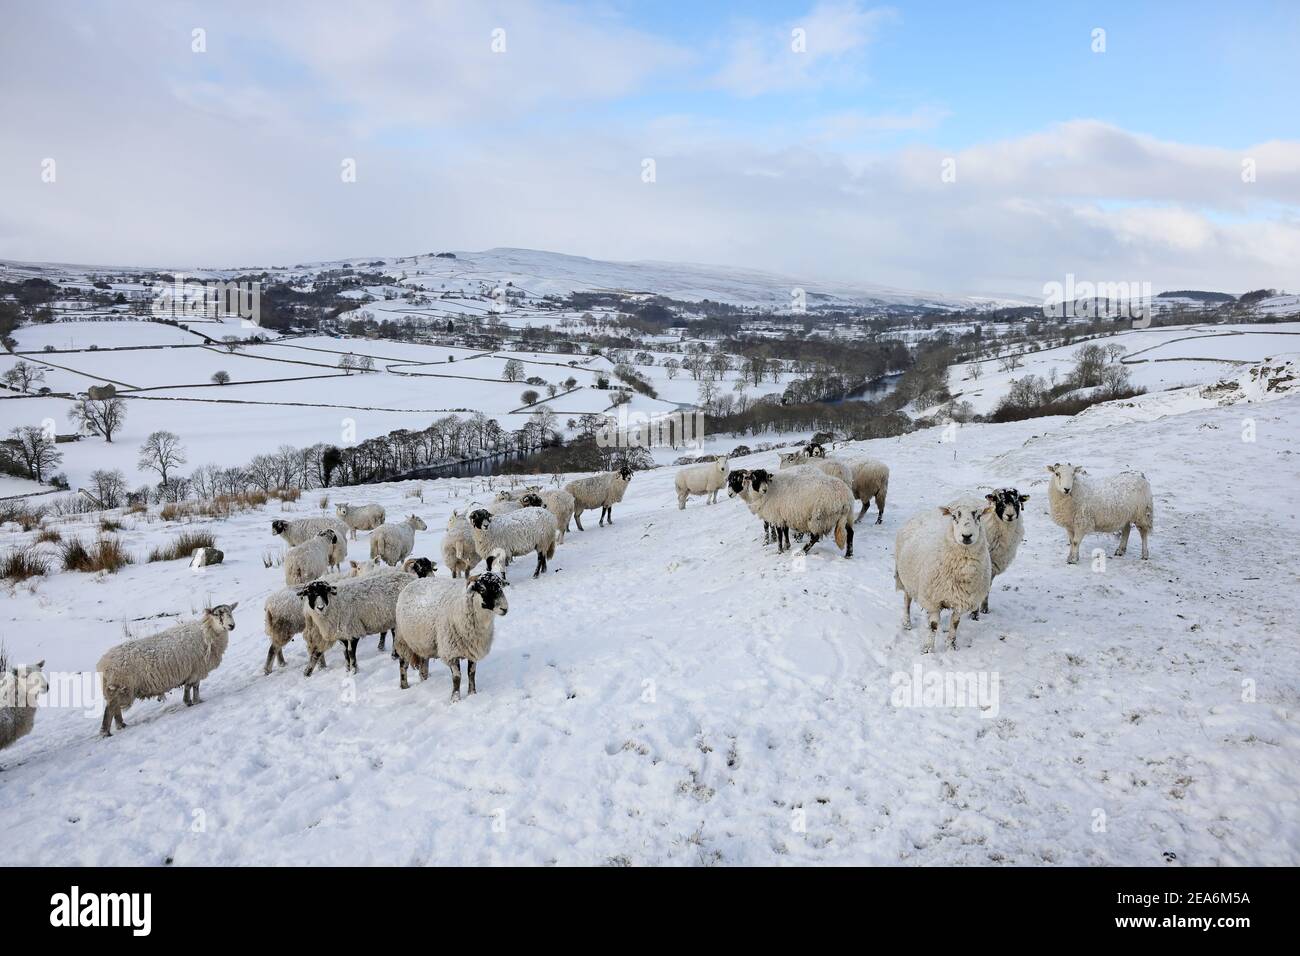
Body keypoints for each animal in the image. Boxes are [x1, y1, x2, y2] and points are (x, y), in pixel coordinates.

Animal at [97, 604, 238, 737]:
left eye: (231, 611)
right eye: (217, 614)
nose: (232, 625)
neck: (206, 633)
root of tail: (103, 663)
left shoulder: (192, 671)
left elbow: (191, 687)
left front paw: (192, 701)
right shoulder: (196, 670)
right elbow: (193, 686)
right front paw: (193, 702)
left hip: (118, 689)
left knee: (115, 708)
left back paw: (121, 725)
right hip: (122, 687)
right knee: (110, 709)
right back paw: (106, 732)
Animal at [299, 559, 435, 676]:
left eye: (324, 591)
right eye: (310, 594)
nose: (320, 607)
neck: (334, 603)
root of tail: (410, 578)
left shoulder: (353, 630)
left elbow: (351, 653)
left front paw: (354, 671)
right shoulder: (342, 634)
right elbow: (345, 654)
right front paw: (347, 669)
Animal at [894, 501, 993, 653]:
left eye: (979, 516)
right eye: (954, 516)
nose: (966, 536)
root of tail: (923, 513)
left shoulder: (961, 600)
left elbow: (955, 623)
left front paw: (951, 645)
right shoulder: (933, 599)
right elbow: (934, 625)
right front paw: (928, 648)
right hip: (906, 578)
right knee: (906, 600)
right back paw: (907, 622)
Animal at [972, 488, 1029, 618]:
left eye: (1017, 502)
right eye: (1000, 502)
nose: (1010, 515)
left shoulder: (993, 566)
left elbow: (987, 588)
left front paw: (984, 609)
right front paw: (974, 614)